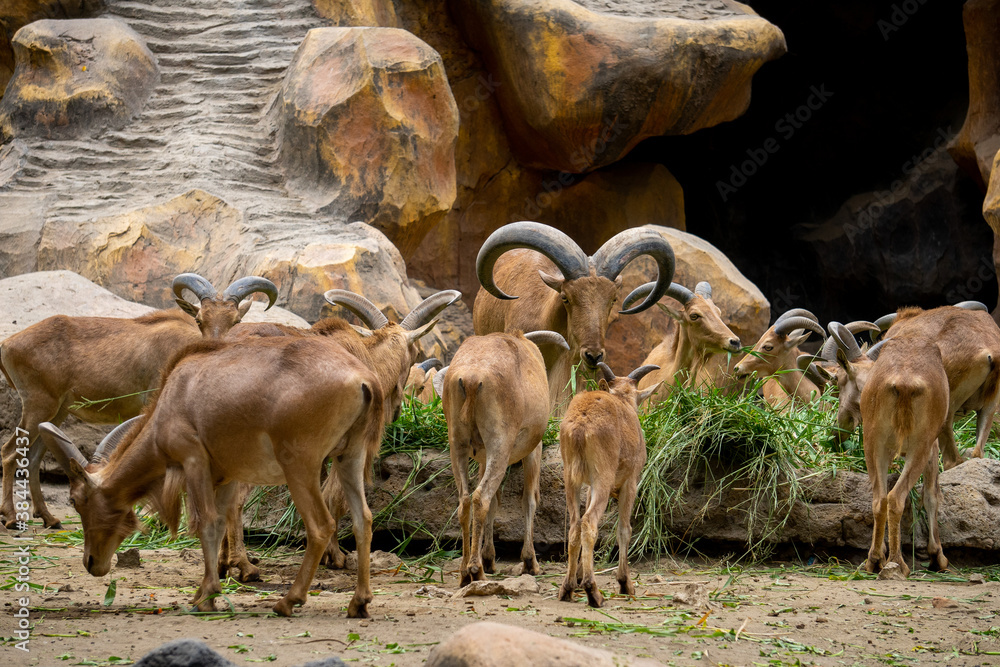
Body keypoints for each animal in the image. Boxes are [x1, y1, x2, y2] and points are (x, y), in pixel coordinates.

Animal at [0, 273, 277, 529]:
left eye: (235, 321)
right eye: (200, 319)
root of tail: (7, 344)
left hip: (56, 411)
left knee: (33, 458)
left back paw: (49, 518)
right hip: (37, 405)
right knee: (10, 453)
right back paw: (11, 518)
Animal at [39, 334, 385, 618]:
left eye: (75, 500)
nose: (91, 562)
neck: (173, 399)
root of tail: (364, 379)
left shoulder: (193, 460)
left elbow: (206, 523)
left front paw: (205, 596)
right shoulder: (228, 476)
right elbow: (220, 524)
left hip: (300, 464)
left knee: (321, 525)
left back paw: (288, 601)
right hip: (350, 456)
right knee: (363, 519)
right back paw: (359, 602)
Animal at [443, 329, 570, 586]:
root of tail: (471, 379)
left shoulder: (482, 458)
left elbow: (496, 504)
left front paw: (490, 558)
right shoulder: (534, 449)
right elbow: (529, 500)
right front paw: (530, 562)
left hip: (458, 446)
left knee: (465, 500)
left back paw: (464, 572)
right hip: (499, 444)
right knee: (480, 497)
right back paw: (475, 570)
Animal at [558, 362, 660, 608]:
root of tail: (580, 425)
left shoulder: (588, 486)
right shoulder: (630, 482)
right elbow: (625, 529)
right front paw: (625, 584)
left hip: (571, 480)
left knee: (575, 526)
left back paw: (567, 588)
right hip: (602, 478)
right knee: (588, 523)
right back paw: (593, 592)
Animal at [829, 323, 950, 575]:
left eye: (839, 381)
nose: (837, 430)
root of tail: (903, 381)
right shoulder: (931, 447)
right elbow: (931, 494)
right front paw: (938, 556)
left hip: (874, 443)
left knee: (879, 499)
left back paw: (874, 560)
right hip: (919, 446)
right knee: (895, 498)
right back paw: (897, 562)